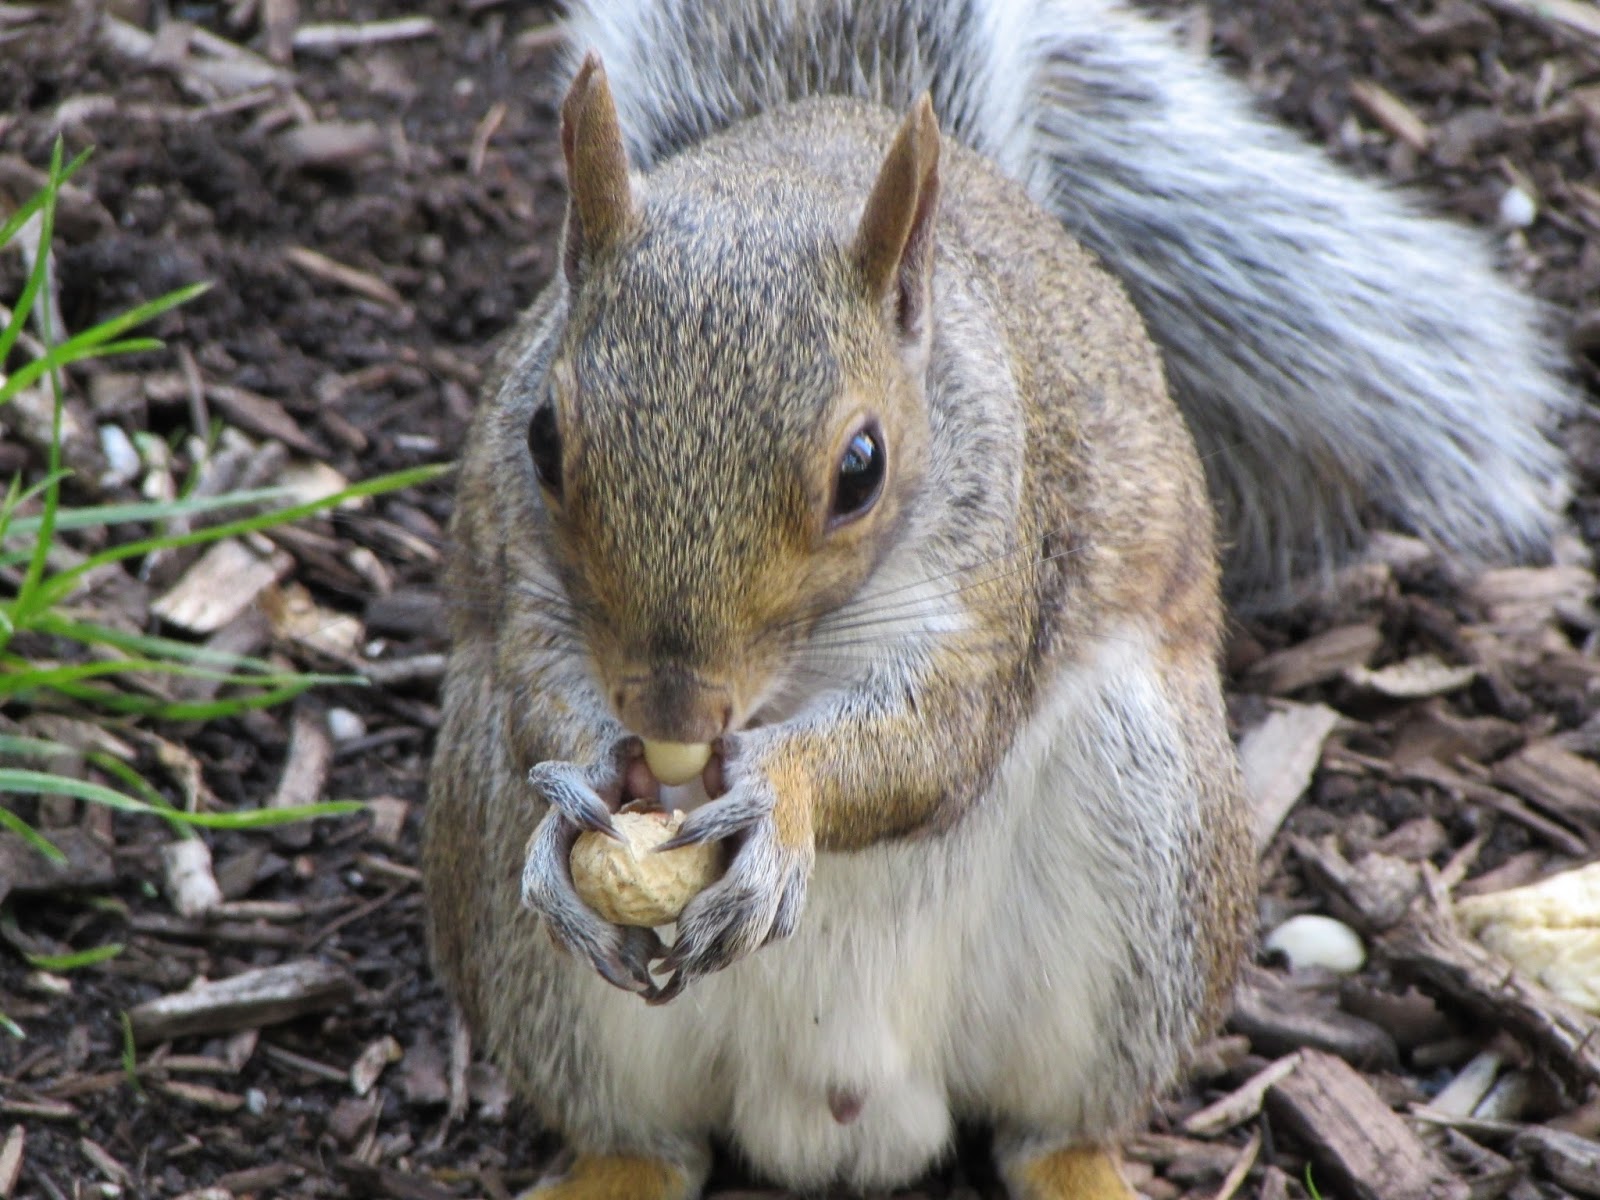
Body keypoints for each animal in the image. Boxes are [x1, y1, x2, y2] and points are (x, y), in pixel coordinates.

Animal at [422, 2, 1576, 1198]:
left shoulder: (1003, 568)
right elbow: (537, 686)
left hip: (1141, 869)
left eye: (862, 468)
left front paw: (781, 795)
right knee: (640, 1140)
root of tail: (842, 1116)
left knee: (1053, 1127)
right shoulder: (521, 584)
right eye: (542, 441)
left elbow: (934, 742)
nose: (673, 716)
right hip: (515, 908)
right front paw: (583, 796)